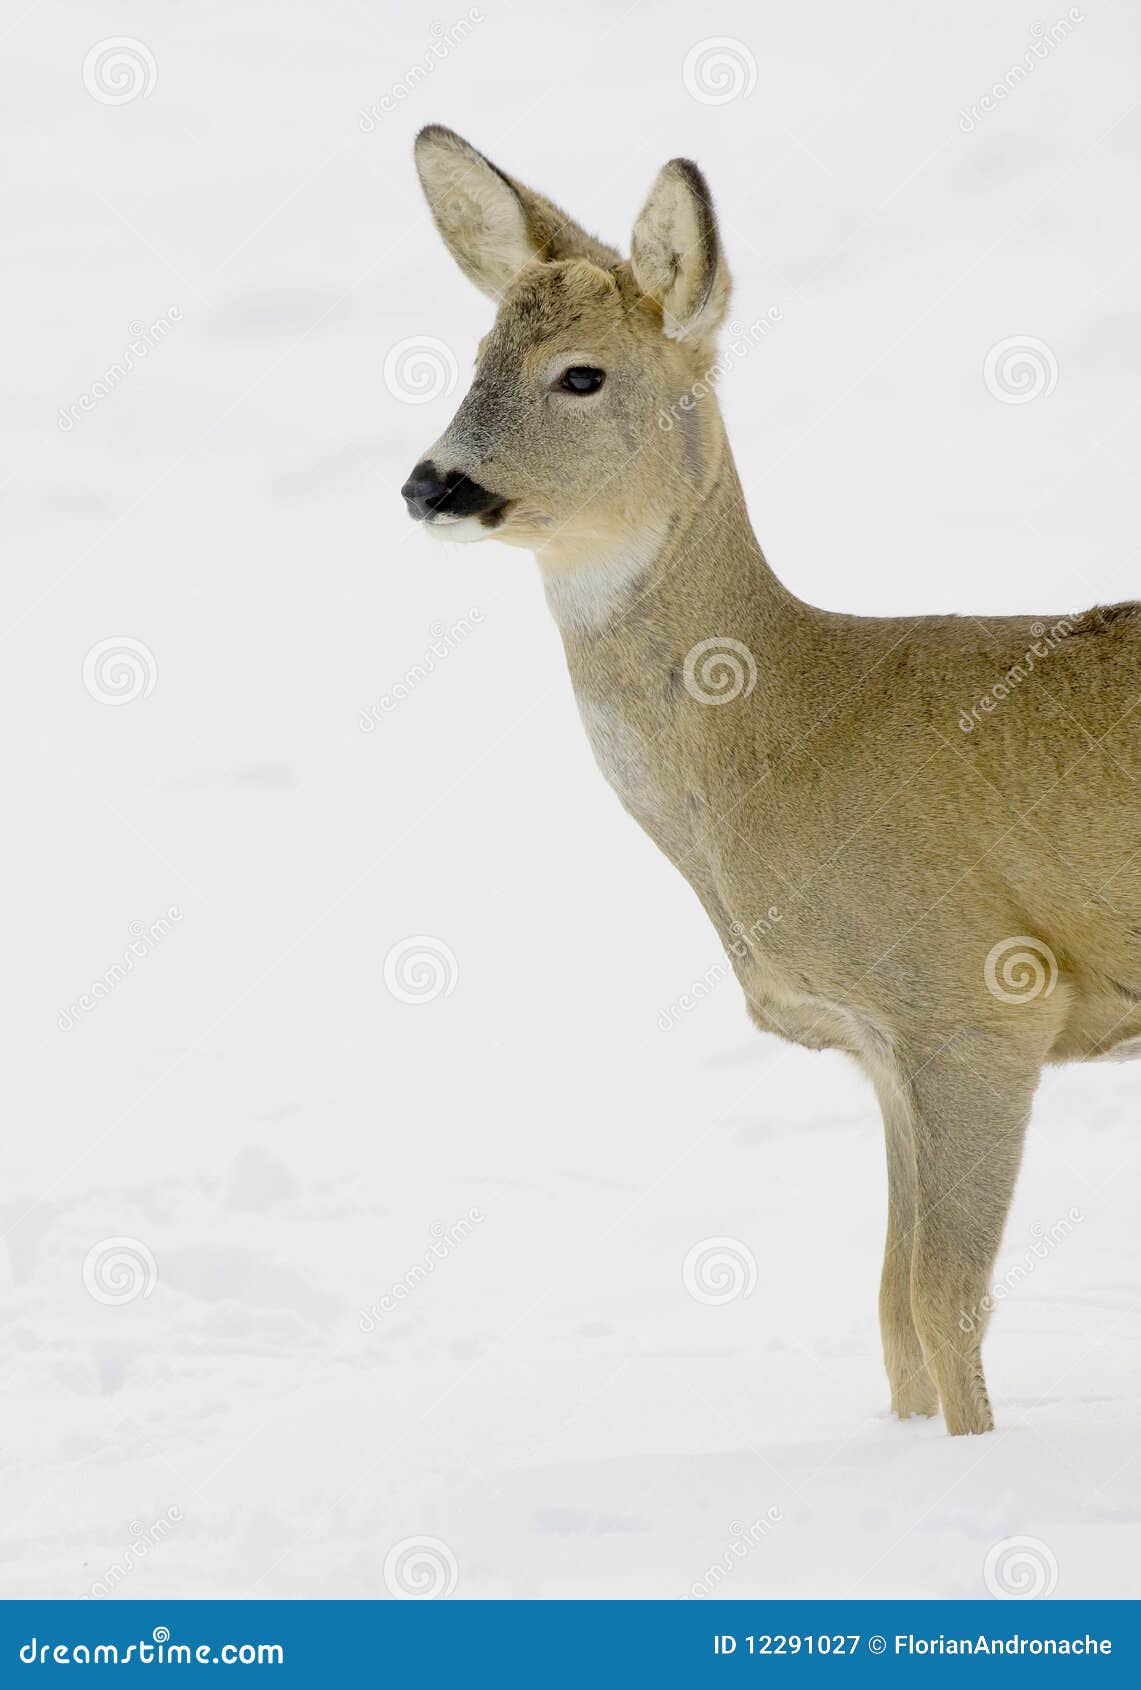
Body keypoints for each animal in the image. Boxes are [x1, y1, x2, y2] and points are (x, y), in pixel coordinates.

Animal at [400, 124, 1141, 1436]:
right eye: (478, 356)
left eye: (580, 375)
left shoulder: (980, 995)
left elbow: (945, 1300)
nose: (432, 484)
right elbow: (892, 1303)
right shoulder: (877, 1044)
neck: (781, 729)